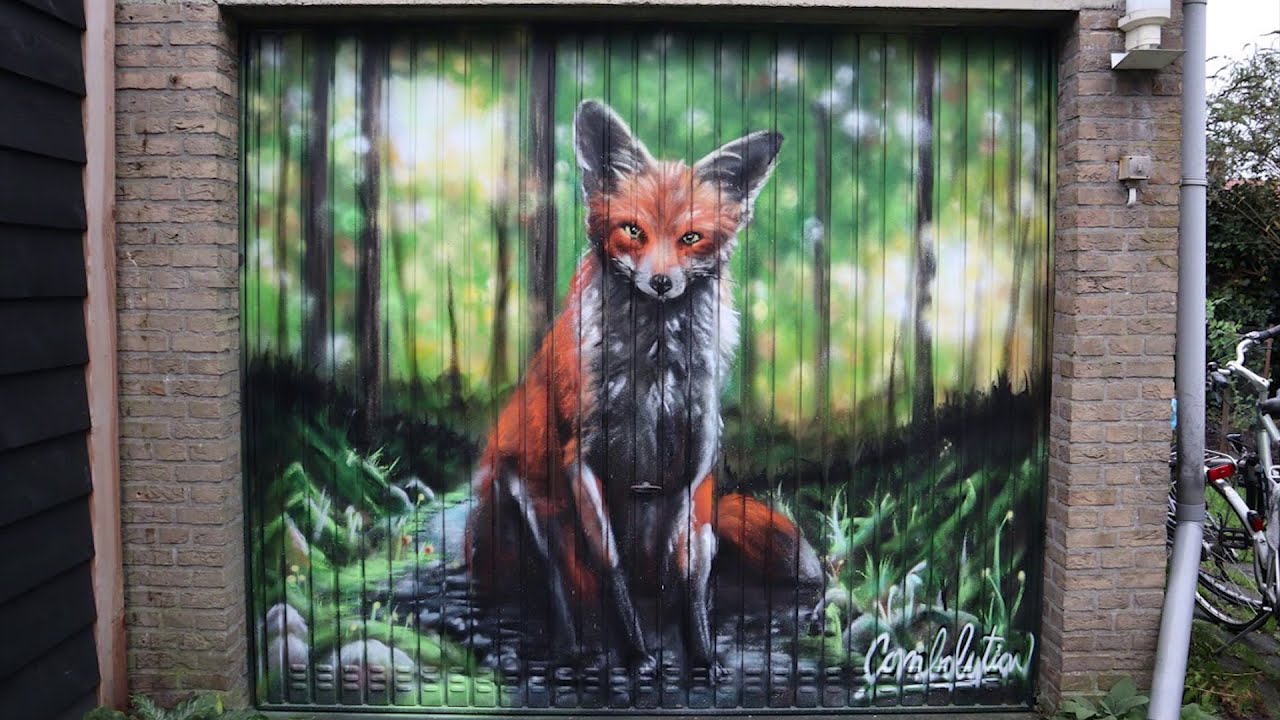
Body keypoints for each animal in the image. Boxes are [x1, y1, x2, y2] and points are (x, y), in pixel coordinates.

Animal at [464, 99, 821, 675]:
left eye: (691, 238)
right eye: (632, 230)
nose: (659, 282)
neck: (653, 375)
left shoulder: (696, 470)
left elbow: (690, 576)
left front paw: (701, 655)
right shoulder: (579, 461)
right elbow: (607, 565)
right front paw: (633, 652)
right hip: (518, 492)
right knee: (560, 580)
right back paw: (576, 646)